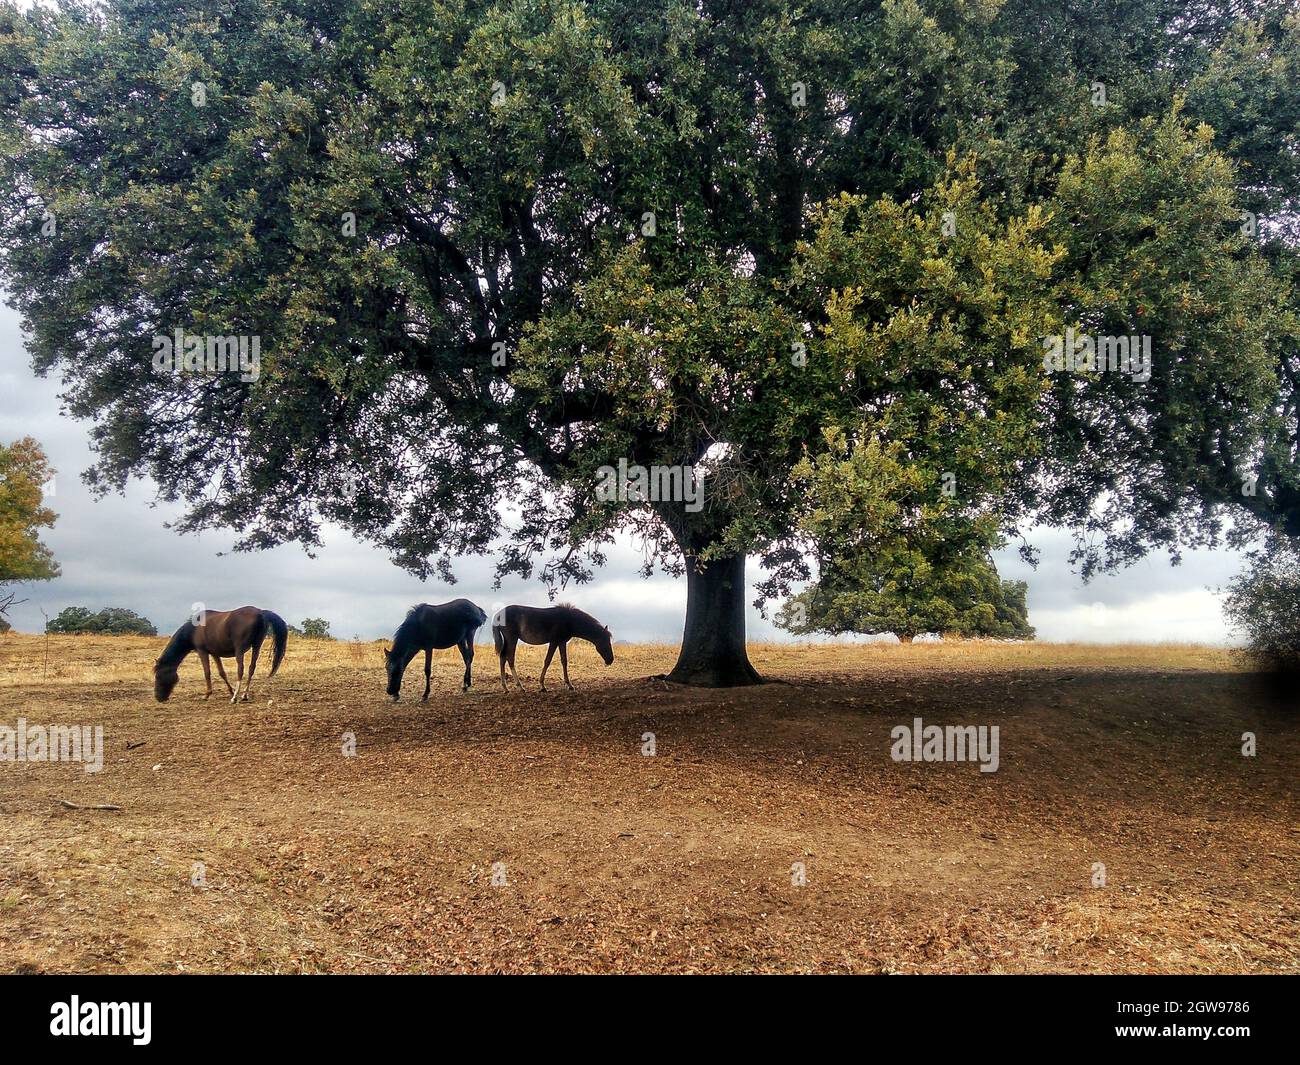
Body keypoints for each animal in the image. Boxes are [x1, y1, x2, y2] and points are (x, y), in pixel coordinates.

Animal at [154, 606, 288, 703]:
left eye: (158, 676)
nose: (159, 698)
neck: (194, 629)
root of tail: (260, 612)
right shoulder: (214, 653)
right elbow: (222, 673)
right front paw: (230, 690)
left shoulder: (202, 651)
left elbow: (207, 672)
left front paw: (207, 695)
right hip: (256, 646)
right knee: (251, 668)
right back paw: (244, 695)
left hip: (240, 650)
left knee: (241, 669)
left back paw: (235, 697)